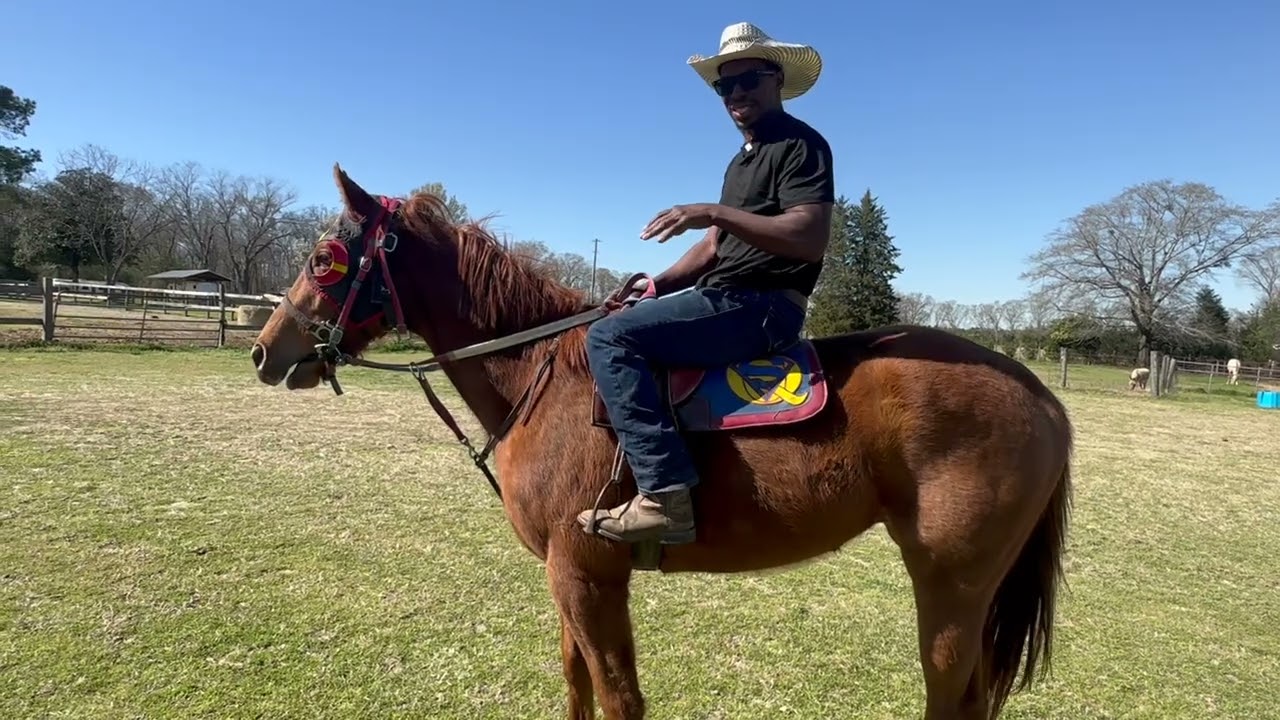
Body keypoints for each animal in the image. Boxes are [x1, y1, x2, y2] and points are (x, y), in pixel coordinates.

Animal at [249, 166, 1075, 720]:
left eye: (323, 257)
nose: (264, 351)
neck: (542, 375)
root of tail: (1039, 394)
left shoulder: (587, 576)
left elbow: (619, 697)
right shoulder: (565, 577)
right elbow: (577, 683)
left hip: (951, 585)